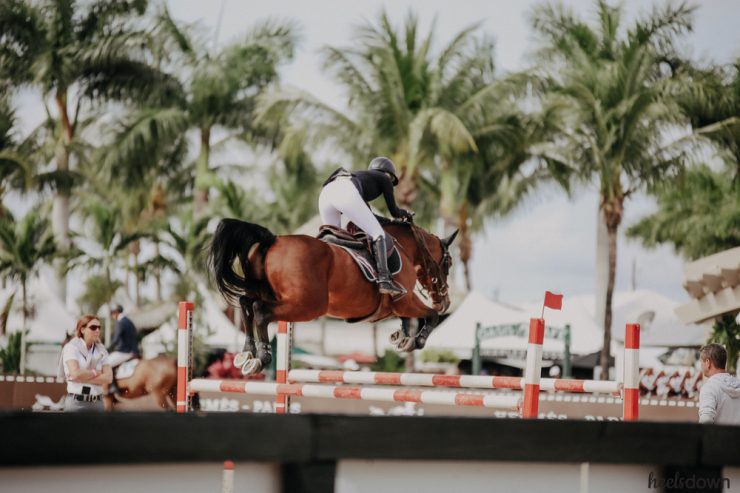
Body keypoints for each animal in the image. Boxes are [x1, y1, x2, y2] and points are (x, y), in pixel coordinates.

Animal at [207, 216, 457, 375]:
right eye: (449, 262)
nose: (444, 301)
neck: (403, 247)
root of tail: (273, 240)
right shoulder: (404, 300)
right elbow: (430, 315)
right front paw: (416, 340)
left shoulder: (397, 306)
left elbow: (411, 317)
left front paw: (402, 337)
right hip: (306, 306)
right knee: (260, 311)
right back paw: (262, 356)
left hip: (274, 295)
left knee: (246, 303)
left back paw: (247, 353)